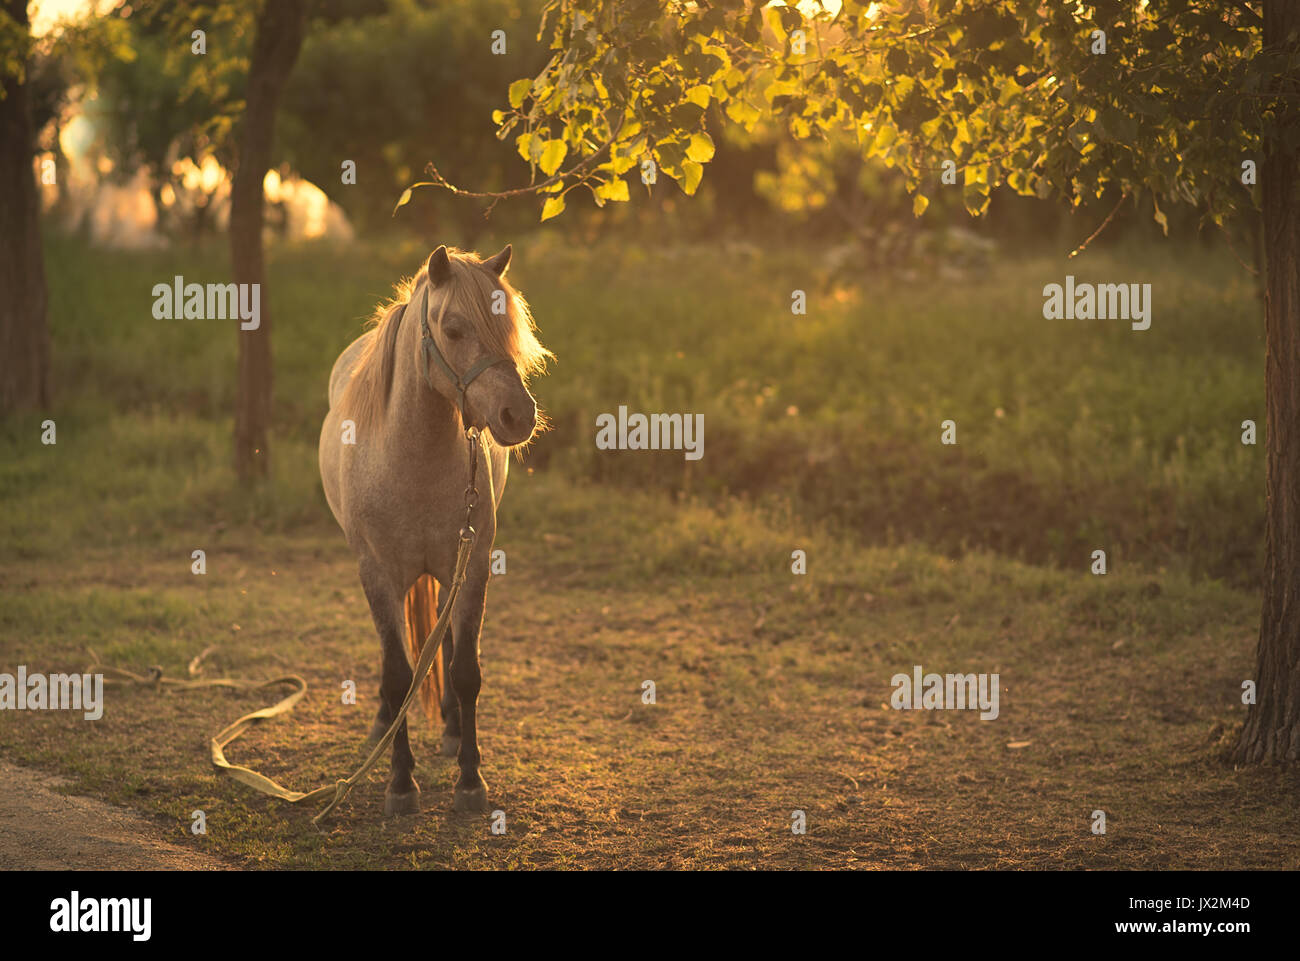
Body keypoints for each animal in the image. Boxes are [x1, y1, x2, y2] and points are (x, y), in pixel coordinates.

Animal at [318, 243, 552, 815]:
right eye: (453, 329)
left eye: (507, 326)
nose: (518, 415)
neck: (411, 459)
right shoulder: (379, 575)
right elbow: (397, 673)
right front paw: (400, 782)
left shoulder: (472, 568)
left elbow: (466, 670)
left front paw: (469, 778)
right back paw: (382, 726)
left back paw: (448, 728)